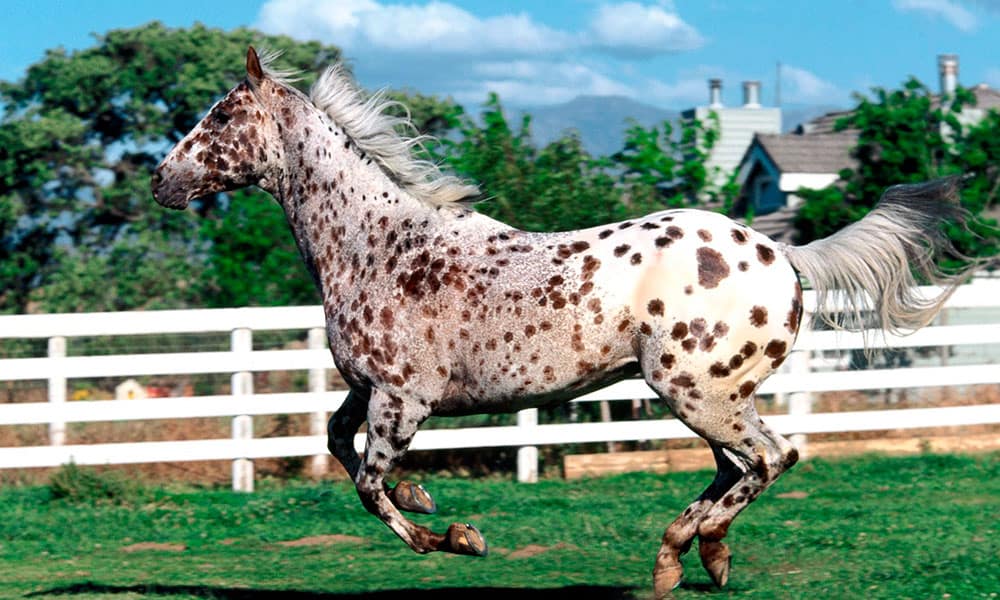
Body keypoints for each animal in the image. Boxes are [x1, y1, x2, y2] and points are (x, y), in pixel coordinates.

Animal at [151, 47, 970, 598]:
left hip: (698, 392)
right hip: (711, 396)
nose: (161, 180)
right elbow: (337, 446)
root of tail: (781, 252)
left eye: (219, 117)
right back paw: (685, 557)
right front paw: (426, 498)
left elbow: (371, 487)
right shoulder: (365, 390)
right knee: (737, 467)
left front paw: (459, 535)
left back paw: (697, 546)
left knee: (772, 458)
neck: (378, 246)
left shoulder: (402, 399)